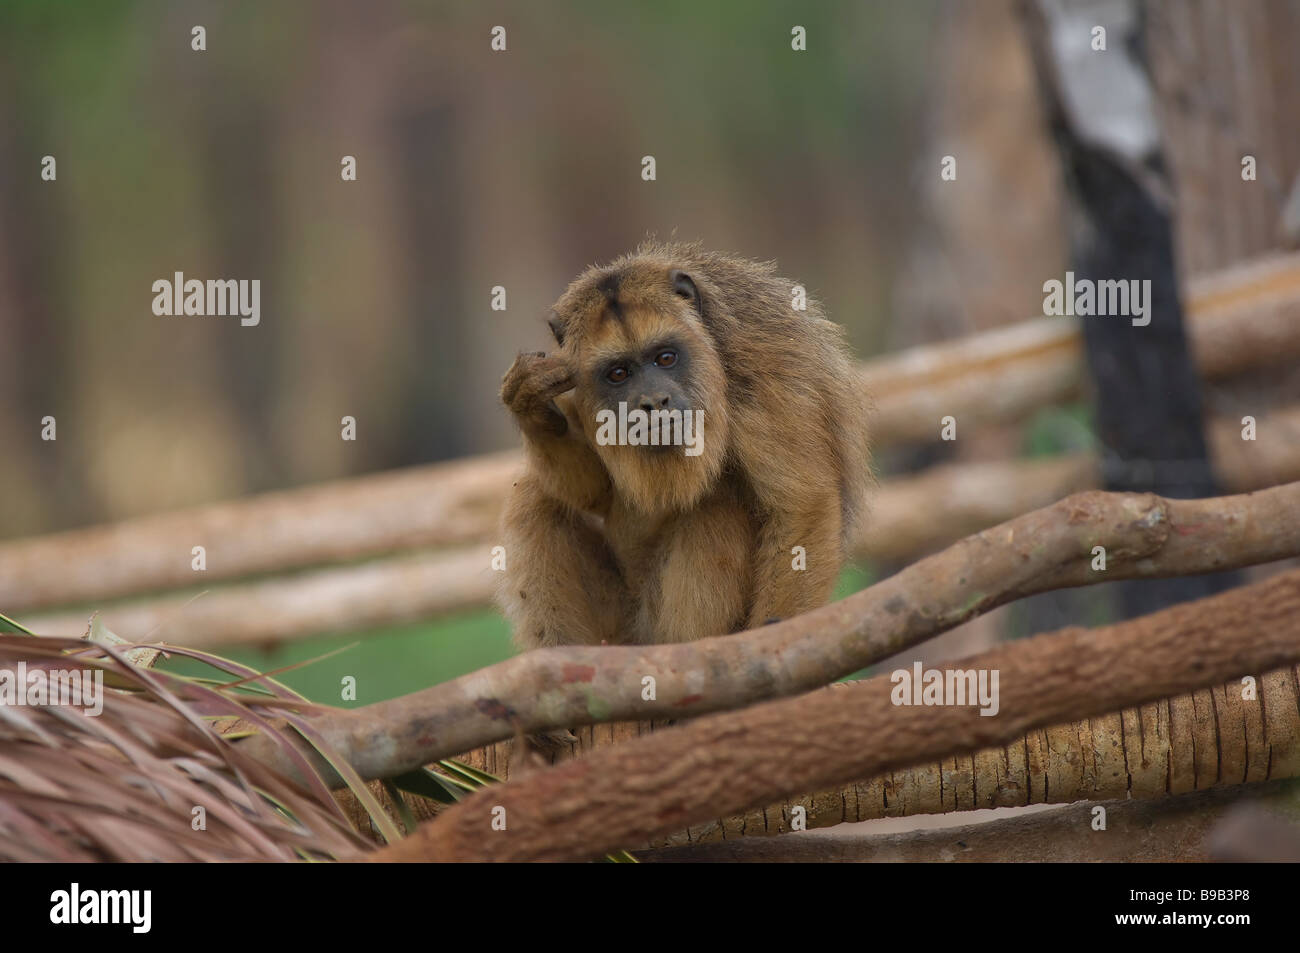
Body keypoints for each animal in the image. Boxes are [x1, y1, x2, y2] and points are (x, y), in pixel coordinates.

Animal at [497, 241, 871, 650]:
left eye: (666, 357)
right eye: (618, 373)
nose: (653, 401)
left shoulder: (765, 368)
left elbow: (802, 506)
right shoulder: (566, 373)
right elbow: (592, 493)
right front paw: (531, 408)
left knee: (715, 505)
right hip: (620, 631)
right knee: (536, 498)